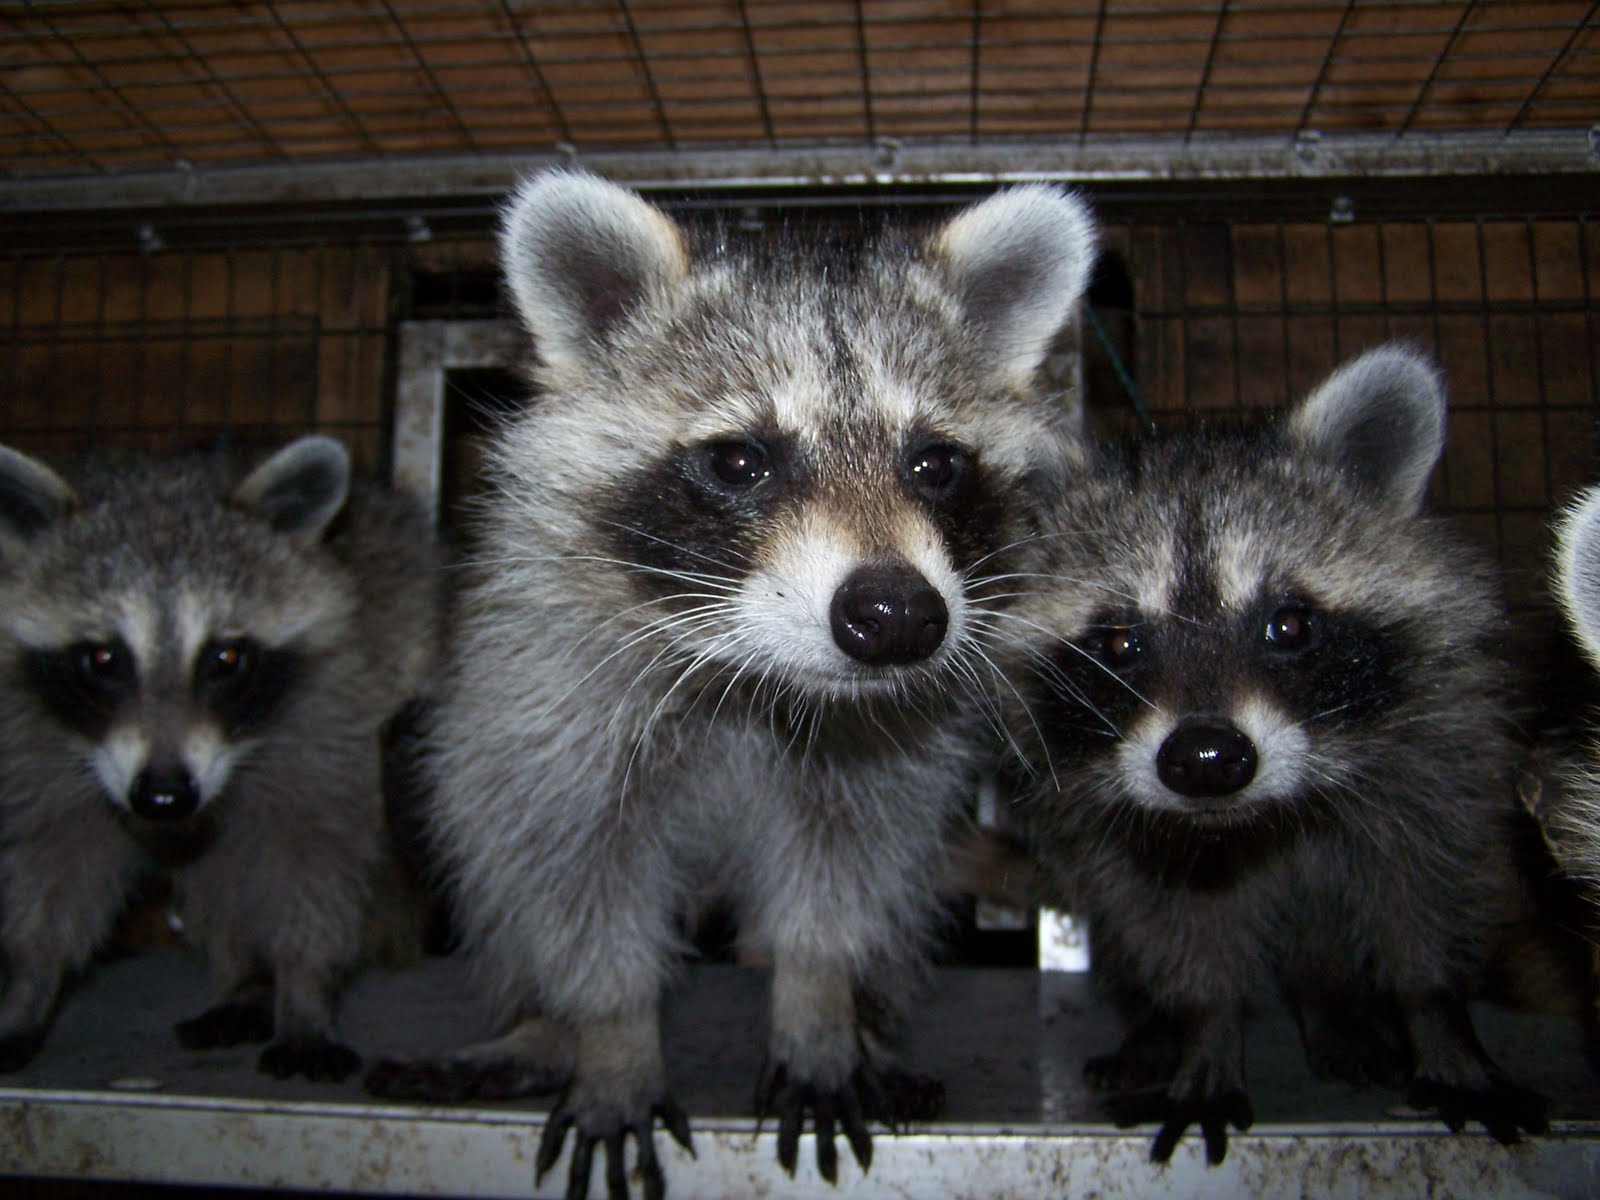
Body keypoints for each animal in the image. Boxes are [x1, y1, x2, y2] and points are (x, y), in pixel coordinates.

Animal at [0, 436, 442, 1080]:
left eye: (225, 658)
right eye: (104, 659)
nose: (163, 797)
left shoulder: (339, 717)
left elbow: (314, 864)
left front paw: (305, 990)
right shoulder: (43, 742)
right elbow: (55, 868)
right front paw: (29, 985)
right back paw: (243, 981)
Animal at [362, 170, 1097, 1198]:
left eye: (936, 463)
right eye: (741, 460)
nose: (896, 617)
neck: (759, 669)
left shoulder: (878, 748)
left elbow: (847, 875)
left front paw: (820, 1008)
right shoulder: (549, 700)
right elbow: (574, 877)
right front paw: (611, 1038)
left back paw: (867, 1019)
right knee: (488, 845)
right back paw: (538, 1028)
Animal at [1009, 345, 1547, 1163]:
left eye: (1289, 626)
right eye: (1120, 643)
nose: (1206, 759)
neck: (1248, 818)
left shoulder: (1435, 745)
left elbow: (1426, 888)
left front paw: (1441, 1026)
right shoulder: (1122, 825)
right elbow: (1173, 921)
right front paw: (1203, 1034)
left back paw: (1326, 1000)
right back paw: (1155, 1027)